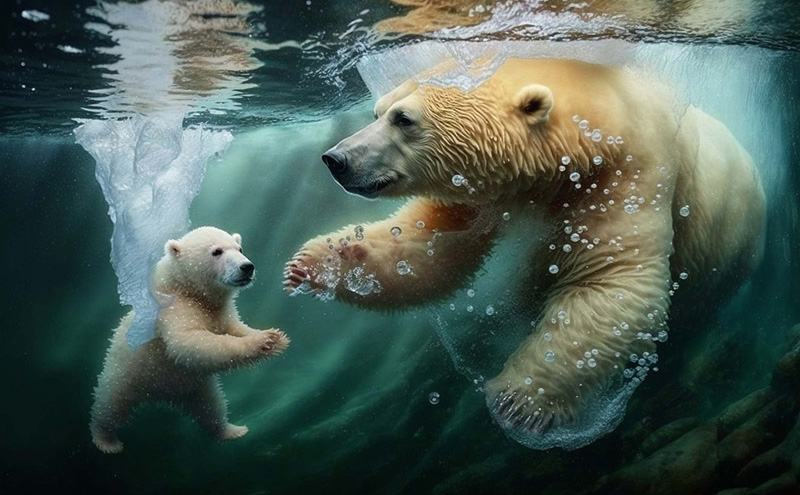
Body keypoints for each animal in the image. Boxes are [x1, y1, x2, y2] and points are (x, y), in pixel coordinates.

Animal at [284, 58, 764, 450]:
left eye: (404, 118)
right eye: (376, 111)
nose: (336, 159)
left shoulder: (627, 171)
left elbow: (612, 280)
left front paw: (517, 401)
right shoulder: (482, 196)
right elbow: (428, 247)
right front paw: (315, 263)